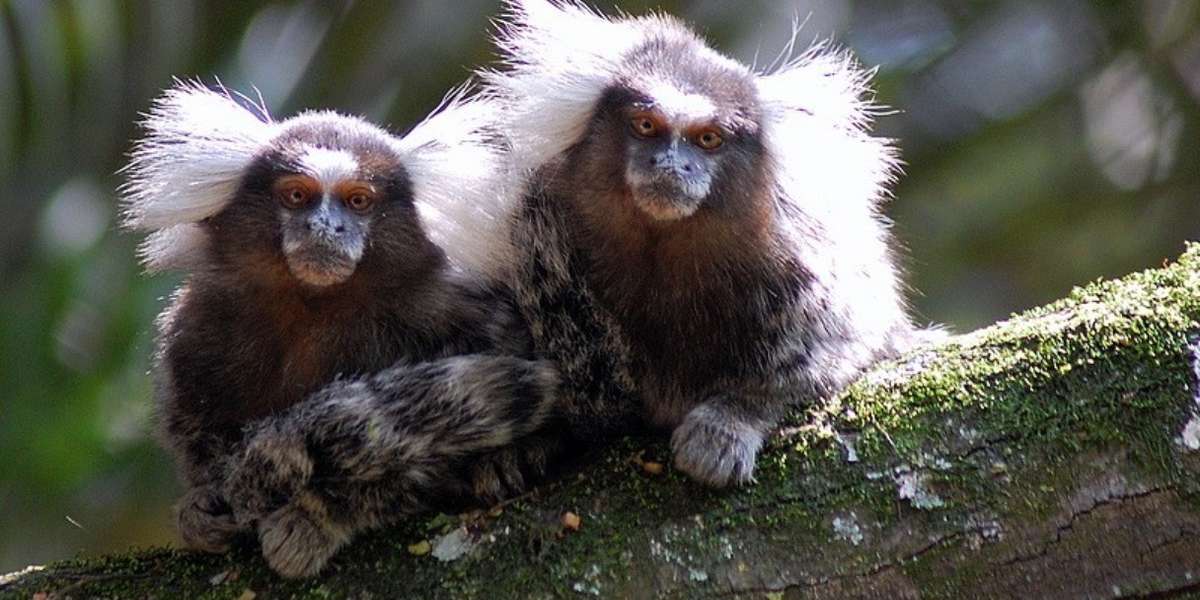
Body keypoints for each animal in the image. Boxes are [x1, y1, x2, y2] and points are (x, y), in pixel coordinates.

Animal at [121, 82, 559, 577]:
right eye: (297, 196)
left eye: (358, 201)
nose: (326, 226)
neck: (312, 307)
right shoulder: (196, 323)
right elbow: (195, 430)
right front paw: (202, 504)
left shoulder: (454, 305)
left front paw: (318, 514)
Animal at [478, 0, 926, 488]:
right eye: (646, 126)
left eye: (708, 139)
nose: (672, 165)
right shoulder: (539, 227)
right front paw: (533, 444)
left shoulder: (806, 260)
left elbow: (837, 351)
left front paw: (732, 420)